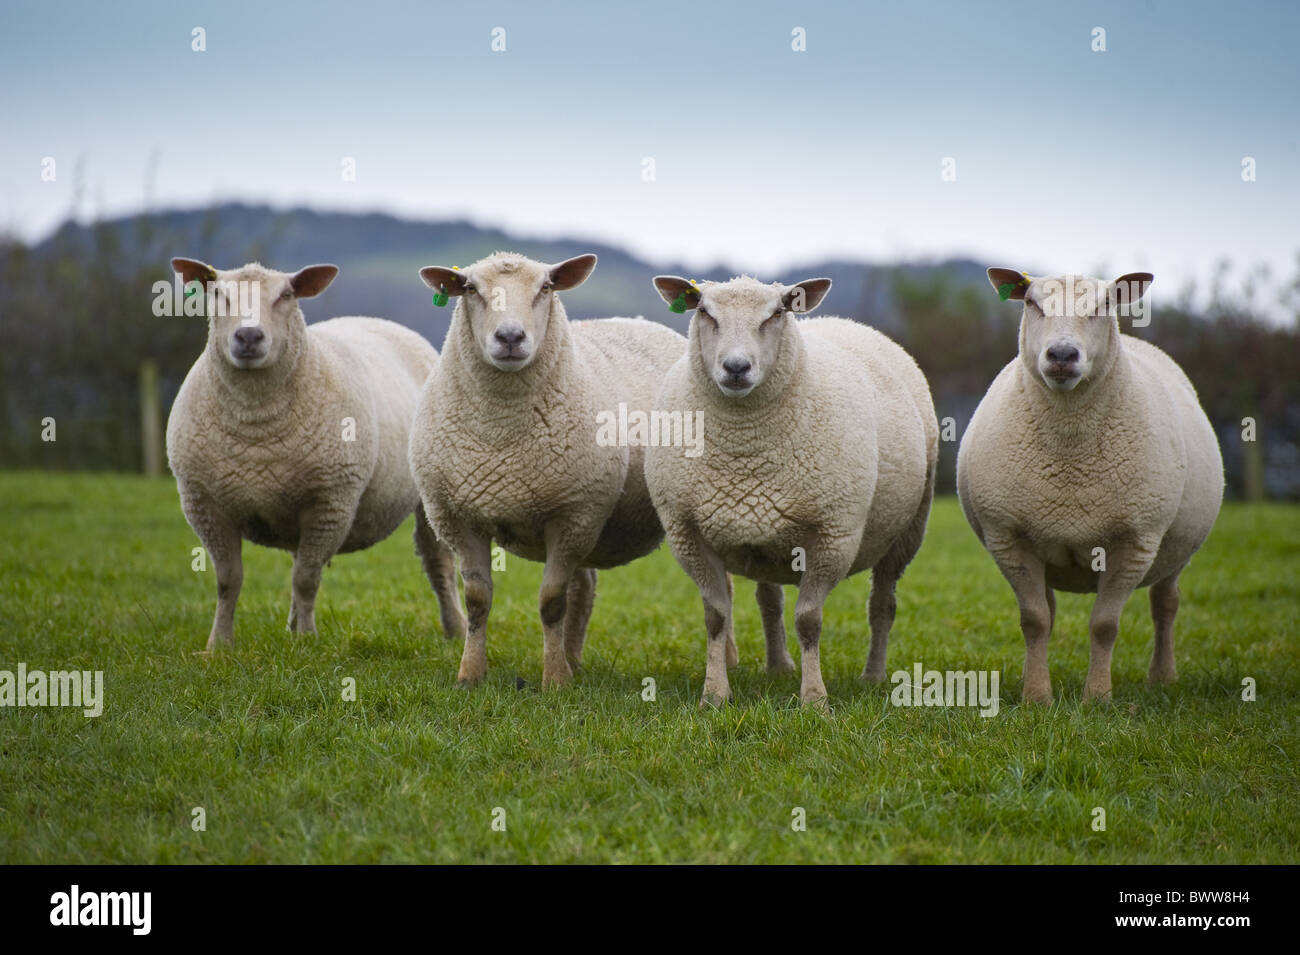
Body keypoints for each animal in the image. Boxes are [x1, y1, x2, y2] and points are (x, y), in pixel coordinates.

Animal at [166, 258, 466, 650]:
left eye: (286, 295)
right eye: (218, 294)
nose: (249, 337)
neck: (255, 424)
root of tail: (374, 319)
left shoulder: (330, 501)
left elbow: (307, 579)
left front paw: (307, 642)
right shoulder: (204, 505)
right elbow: (229, 581)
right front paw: (219, 646)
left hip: (427, 494)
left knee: (438, 564)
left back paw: (456, 629)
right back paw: (291, 625)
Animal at [409, 251, 701, 688]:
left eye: (545, 288)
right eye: (471, 289)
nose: (510, 337)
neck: (501, 435)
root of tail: (644, 323)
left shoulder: (573, 514)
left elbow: (550, 602)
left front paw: (555, 681)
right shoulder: (458, 518)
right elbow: (477, 601)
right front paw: (470, 675)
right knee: (584, 586)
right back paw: (573, 658)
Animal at [644, 275, 939, 707]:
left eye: (777, 313)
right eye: (704, 312)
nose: (736, 367)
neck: (744, 446)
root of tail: (845, 321)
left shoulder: (833, 535)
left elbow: (809, 621)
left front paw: (814, 699)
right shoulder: (688, 533)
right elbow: (716, 616)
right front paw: (714, 695)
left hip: (908, 530)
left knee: (882, 605)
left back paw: (872, 676)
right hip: (761, 537)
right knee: (770, 601)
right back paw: (778, 666)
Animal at [956, 269, 1224, 702]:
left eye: (1105, 304)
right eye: (1031, 302)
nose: (1063, 355)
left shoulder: (1134, 541)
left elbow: (1104, 625)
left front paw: (1097, 697)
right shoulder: (1009, 538)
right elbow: (1035, 620)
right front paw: (1037, 697)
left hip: (1177, 548)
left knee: (1165, 603)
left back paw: (1162, 678)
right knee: (1050, 610)